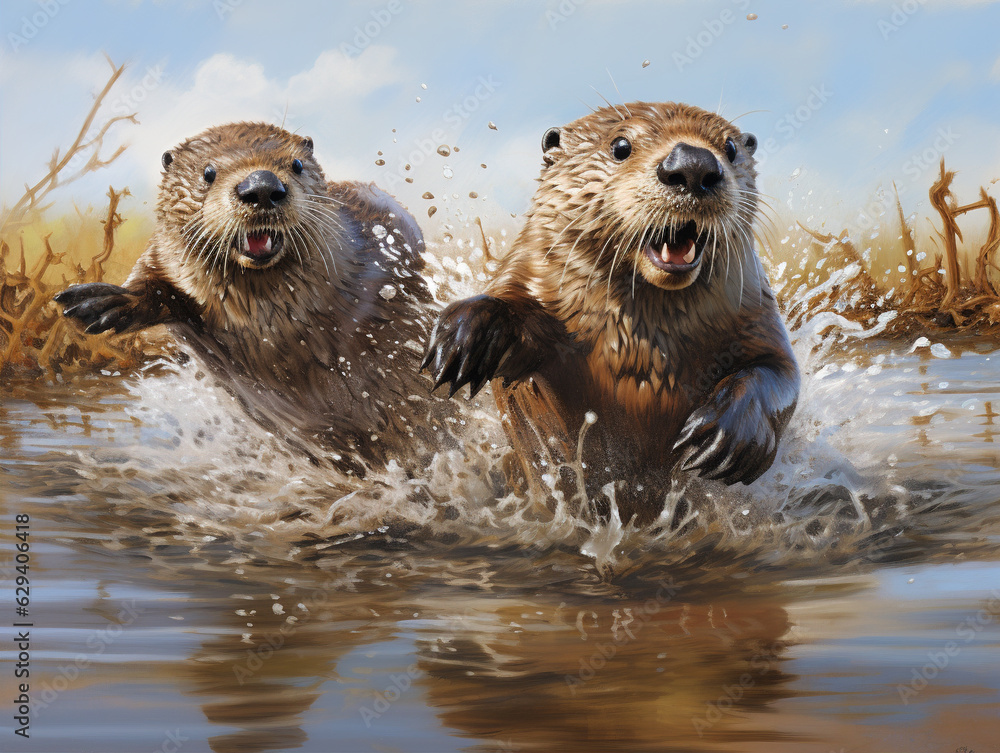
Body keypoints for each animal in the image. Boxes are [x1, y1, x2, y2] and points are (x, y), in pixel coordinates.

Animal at [57, 122, 440, 474]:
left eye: (296, 165)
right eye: (208, 173)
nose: (262, 187)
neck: (271, 322)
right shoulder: (162, 258)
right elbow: (152, 283)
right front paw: (101, 302)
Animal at [423, 102, 799, 521]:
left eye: (731, 149)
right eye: (620, 146)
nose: (693, 163)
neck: (644, 347)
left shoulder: (754, 309)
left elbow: (780, 371)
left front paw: (726, 439)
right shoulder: (530, 276)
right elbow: (512, 312)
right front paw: (466, 334)